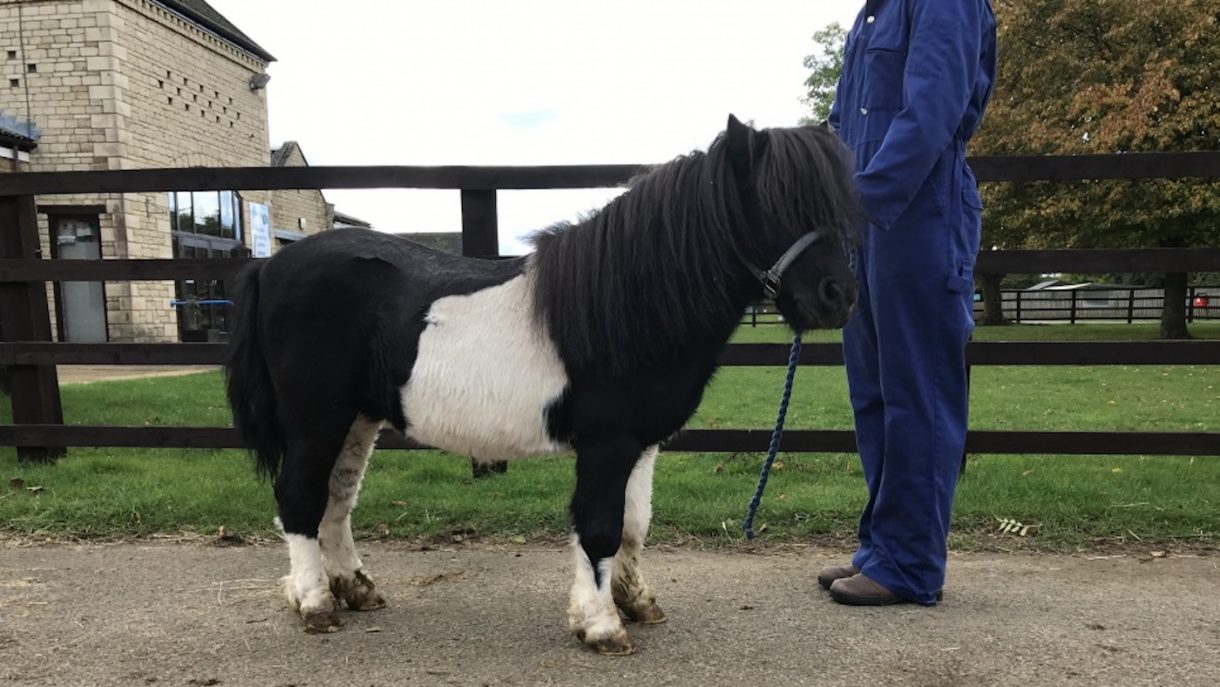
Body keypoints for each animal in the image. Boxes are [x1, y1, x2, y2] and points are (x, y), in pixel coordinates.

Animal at [224, 115, 862, 655]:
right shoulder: (607, 444)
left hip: (358, 417)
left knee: (336, 500)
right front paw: (600, 625)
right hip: (316, 419)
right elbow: (599, 528)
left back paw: (354, 589)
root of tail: (271, 266)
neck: (626, 303)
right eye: (772, 204)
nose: (838, 297)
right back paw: (314, 604)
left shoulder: (643, 443)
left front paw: (636, 603)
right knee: (299, 499)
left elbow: (634, 526)